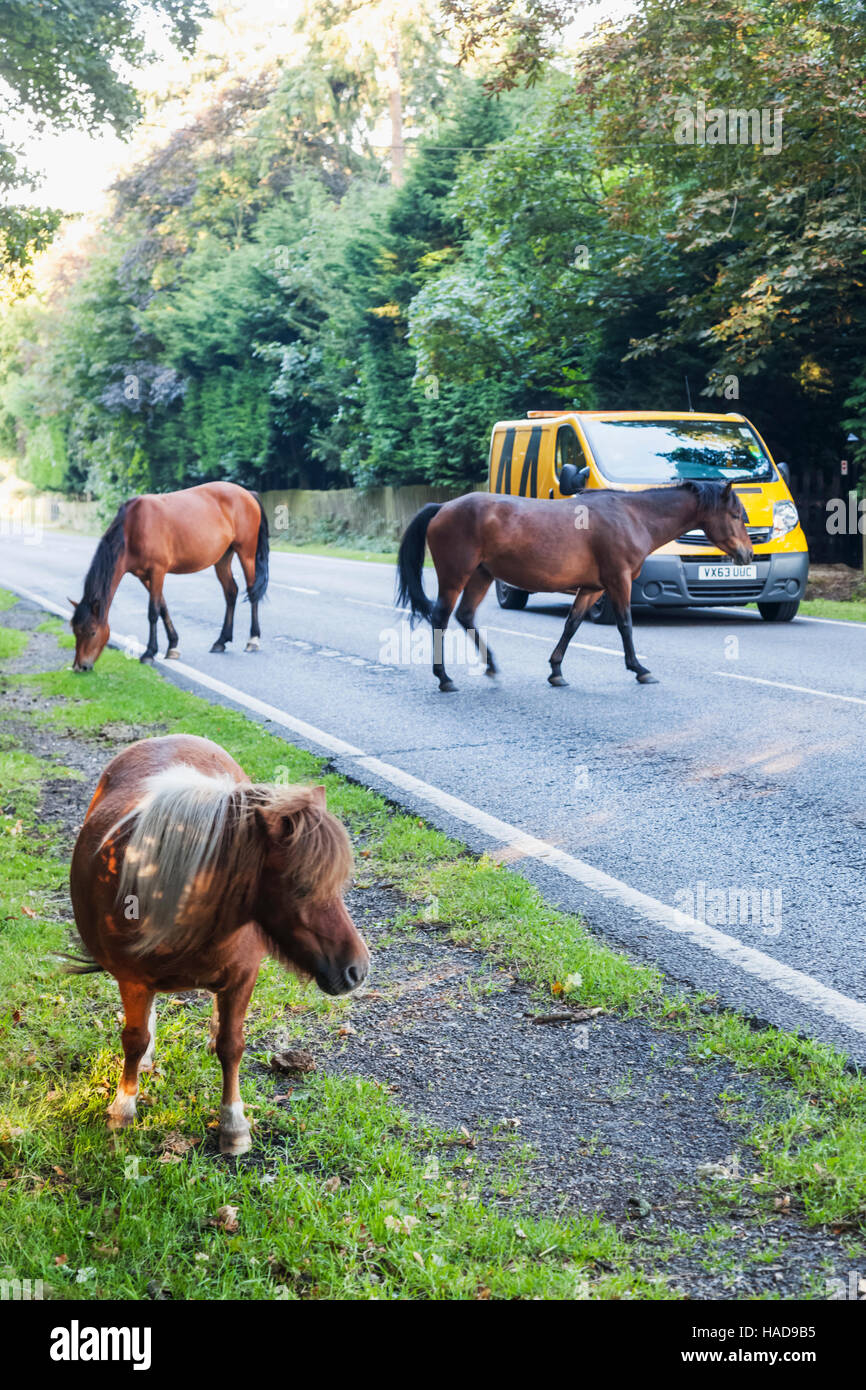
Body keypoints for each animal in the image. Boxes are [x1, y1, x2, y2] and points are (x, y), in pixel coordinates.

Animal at [68, 734, 369, 1155]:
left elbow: (232, 1046)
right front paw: (123, 1107)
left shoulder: (242, 978)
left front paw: (234, 1125)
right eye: (301, 887)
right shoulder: (132, 980)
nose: (357, 970)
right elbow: (134, 1039)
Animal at [70, 481, 269, 671]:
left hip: (246, 554)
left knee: (252, 592)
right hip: (222, 559)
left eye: (93, 632)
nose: (80, 666)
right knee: (231, 592)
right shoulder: (144, 576)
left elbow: (153, 611)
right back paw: (221, 641)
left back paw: (253, 639)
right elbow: (163, 607)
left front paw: (149, 652)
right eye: (75, 630)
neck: (133, 527)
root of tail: (247, 493)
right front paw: (173, 645)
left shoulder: (157, 571)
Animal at [396, 480, 754, 690]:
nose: (747, 554)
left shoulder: (593, 588)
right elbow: (625, 625)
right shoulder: (618, 581)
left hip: (481, 576)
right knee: (441, 619)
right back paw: (444, 678)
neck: (633, 516)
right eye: (736, 515)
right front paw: (639, 668)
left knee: (465, 617)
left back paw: (492, 666)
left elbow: (572, 625)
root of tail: (443, 507)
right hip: (456, 576)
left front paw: (556, 671)